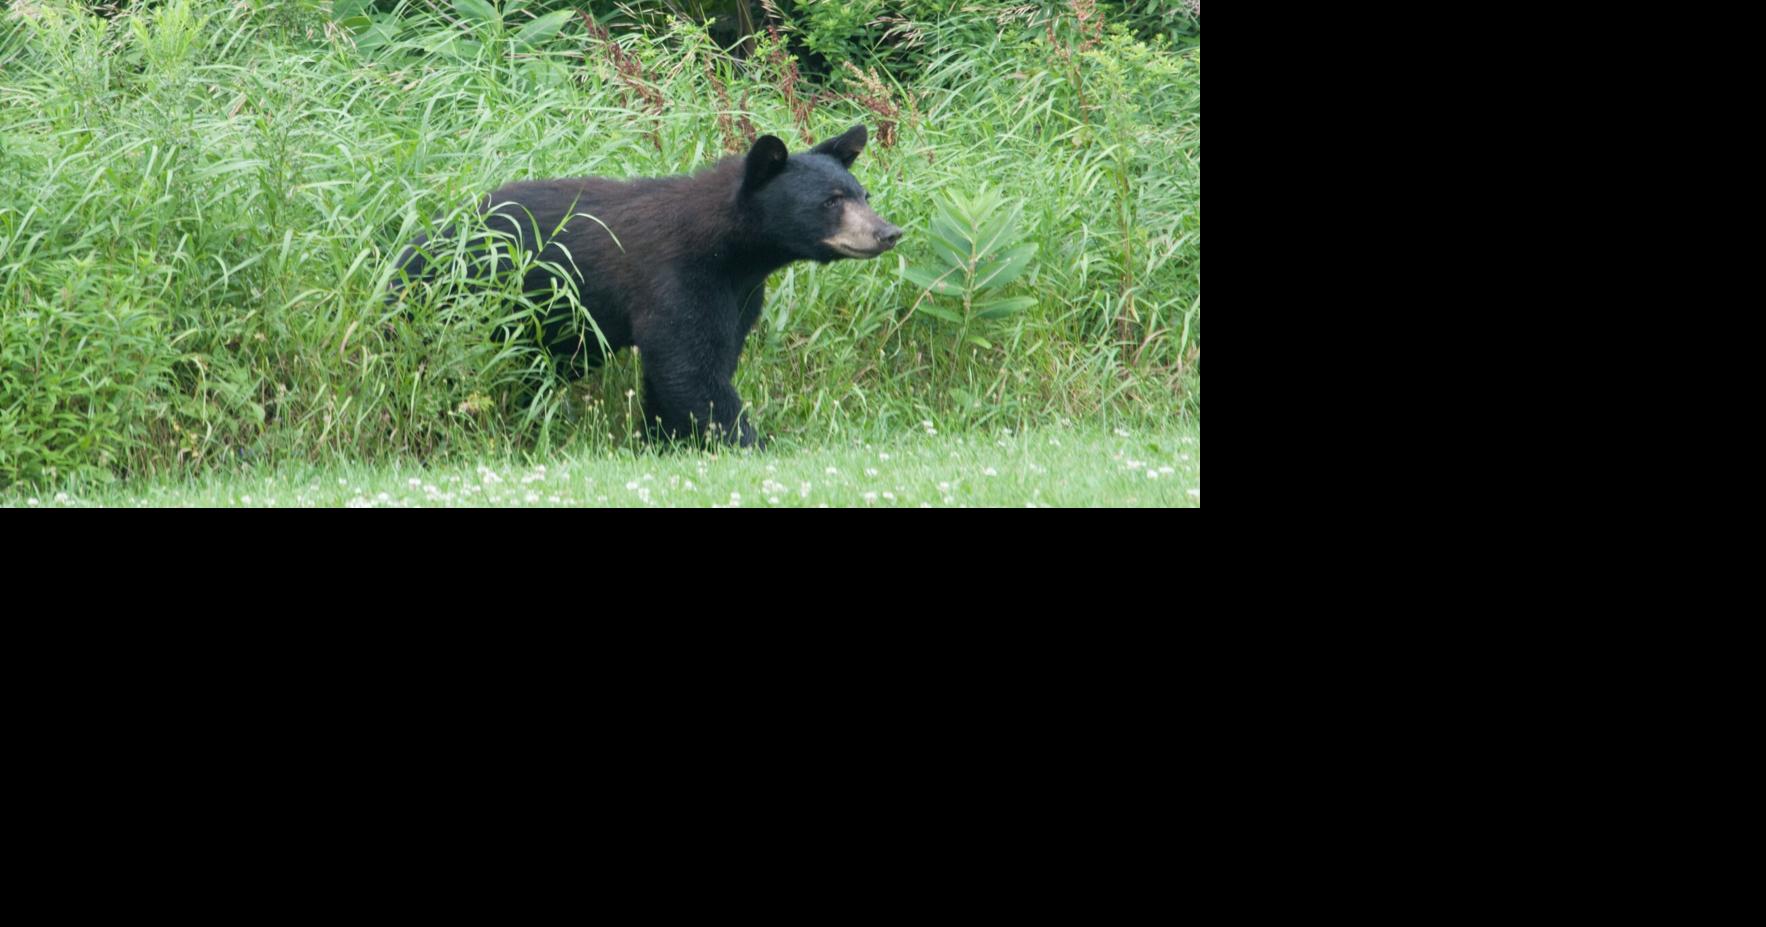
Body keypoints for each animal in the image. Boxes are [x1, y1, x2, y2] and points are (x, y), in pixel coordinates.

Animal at [390, 124, 903, 448]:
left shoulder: (738, 294)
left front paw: (665, 441)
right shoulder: (675, 274)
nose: (888, 232)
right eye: (831, 201)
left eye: (863, 195)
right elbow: (689, 366)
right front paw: (746, 443)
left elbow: (690, 365)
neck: (730, 248)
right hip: (455, 295)